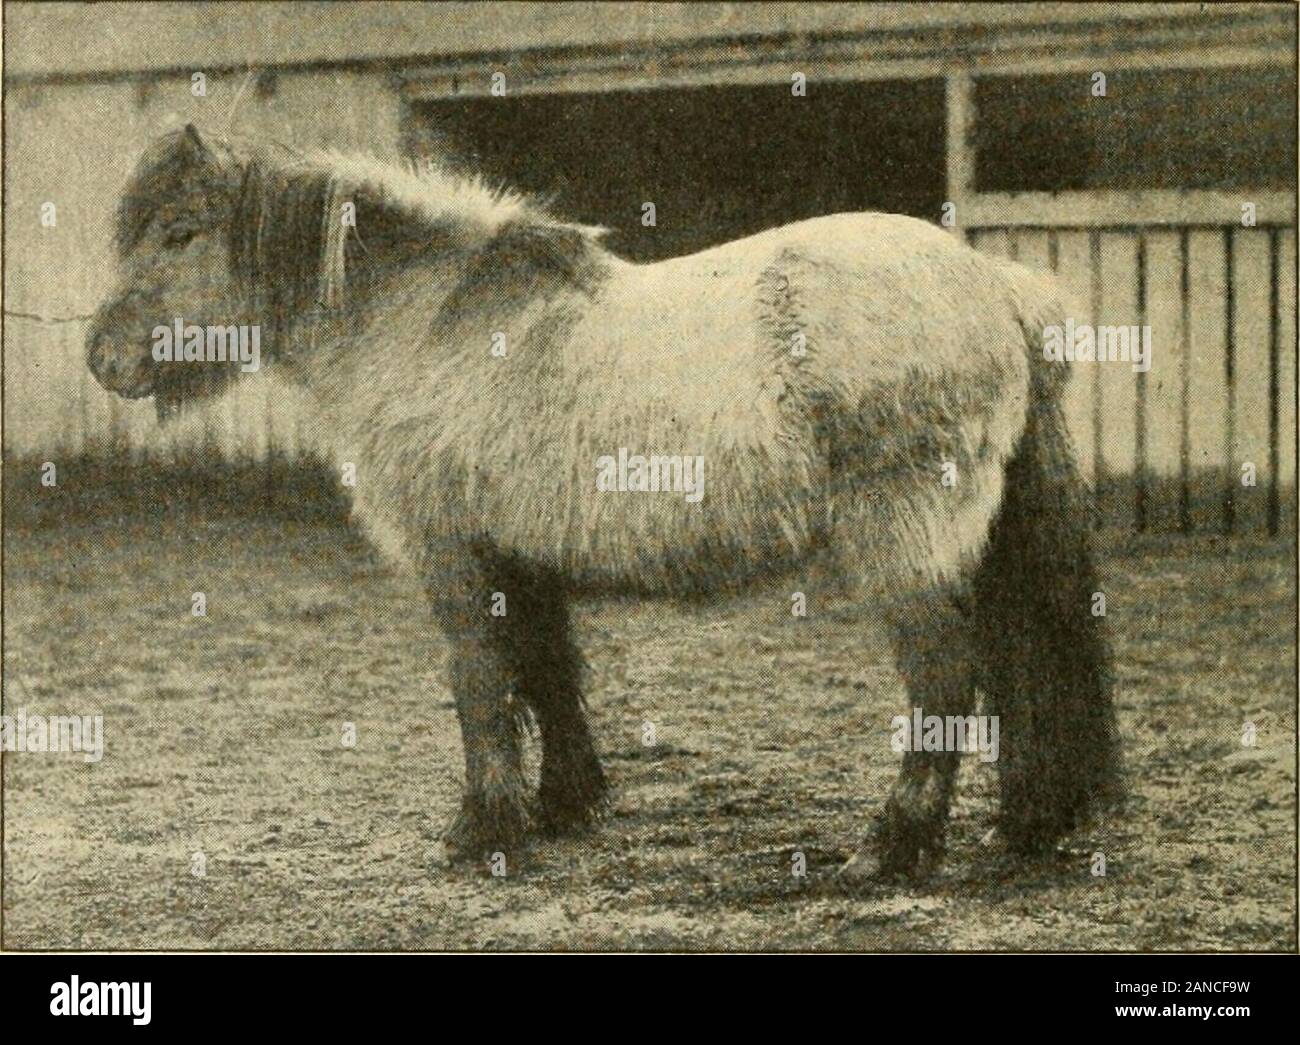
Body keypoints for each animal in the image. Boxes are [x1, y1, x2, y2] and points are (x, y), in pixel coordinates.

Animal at [86, 124, 1121, 882]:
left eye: (179, 233)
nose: (103, 356)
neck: (429, 324)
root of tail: (995, 287)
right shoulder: (519, 556)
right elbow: (548, 674)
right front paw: (562, 806)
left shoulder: (453, 555)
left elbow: (481, 686)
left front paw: (482, 830)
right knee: (1026, 654)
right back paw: (1030, 822)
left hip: (905, 541)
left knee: (946, 677)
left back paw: (894, 847)